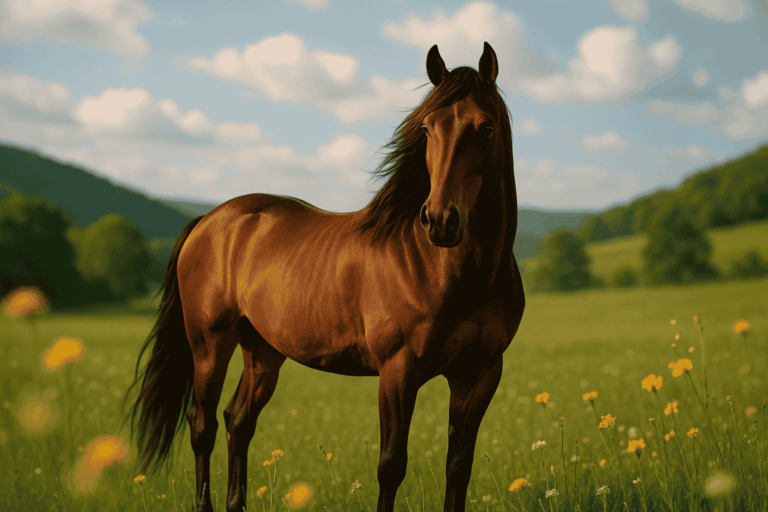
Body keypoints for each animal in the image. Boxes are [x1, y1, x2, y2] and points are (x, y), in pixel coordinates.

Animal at [129, 41, 525, 512]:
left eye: (486, 128)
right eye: (427, 128)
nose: (440, 221)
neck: (451, 274)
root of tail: (210, 220)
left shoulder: (480, 375)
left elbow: (458, 467)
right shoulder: (398, 371)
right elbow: (391, 466)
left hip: (262, 350)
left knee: (238, 421)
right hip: (209, 344)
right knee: (202, 424)